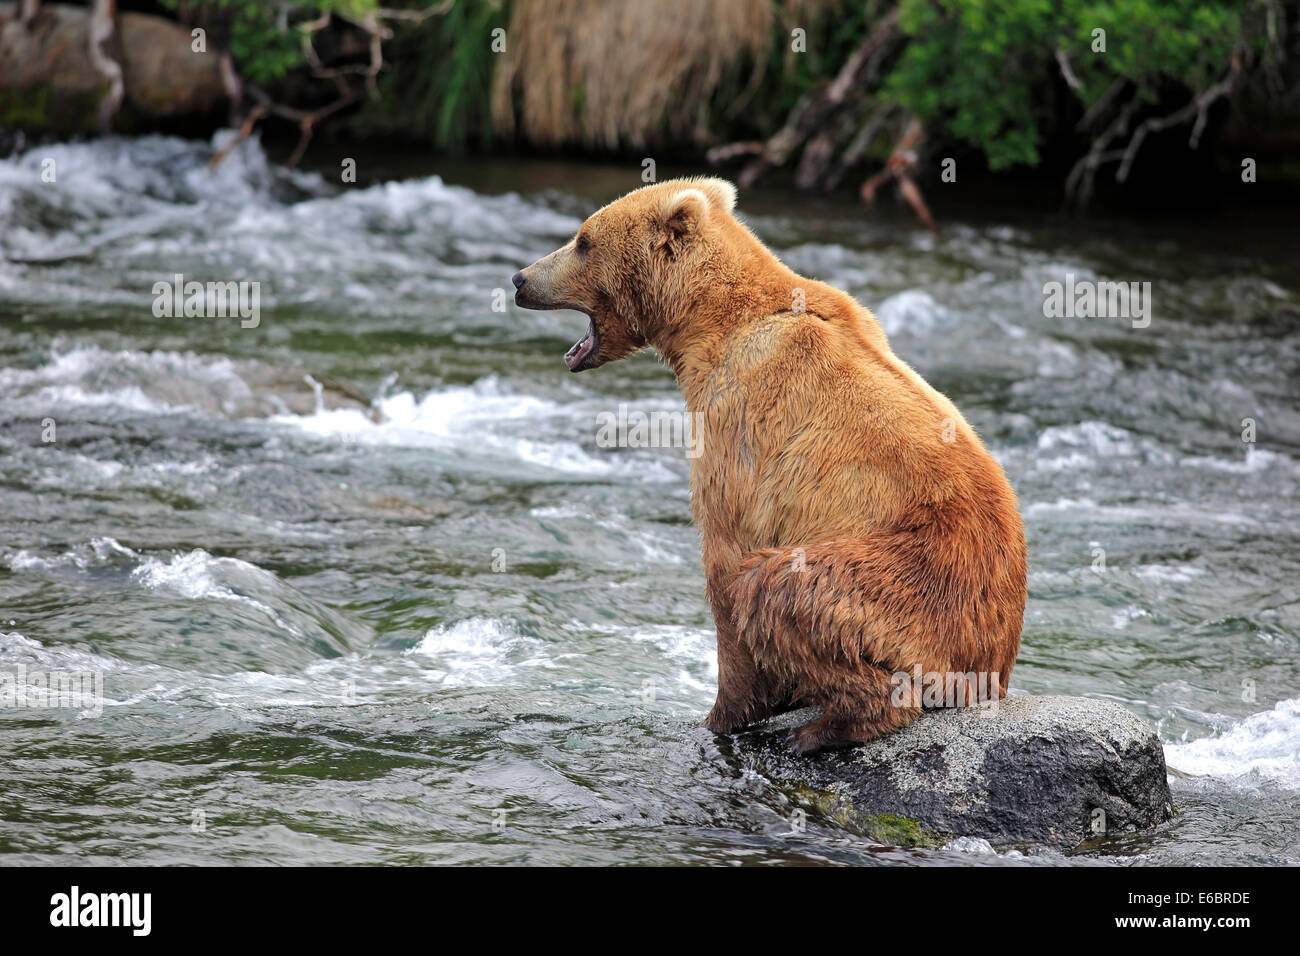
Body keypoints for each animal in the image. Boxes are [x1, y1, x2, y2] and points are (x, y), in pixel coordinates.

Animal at [512, 177, 1027, 754]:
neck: (705, 326)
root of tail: (993, 665)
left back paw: (824, 726)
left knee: (780, 586)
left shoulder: (739, 415)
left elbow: (727, 558)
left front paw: (721, 715)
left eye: (582, 240)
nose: (520, 278)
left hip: (913, 582)